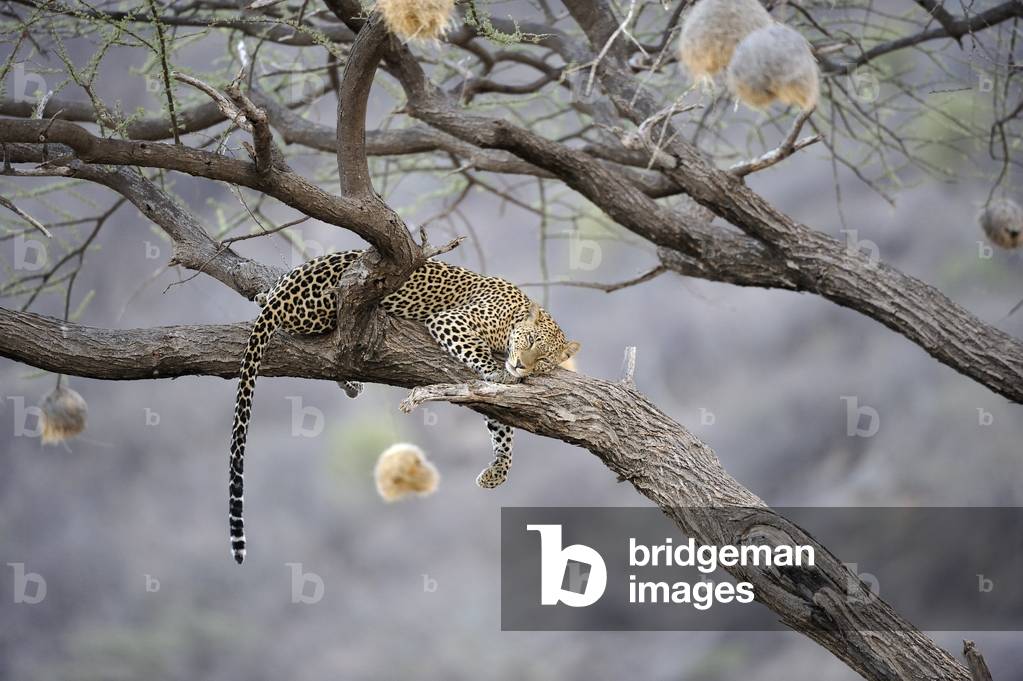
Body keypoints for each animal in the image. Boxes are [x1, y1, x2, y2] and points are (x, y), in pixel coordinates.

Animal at [228, 249, 580, 563]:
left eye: (544, 359)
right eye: (530, 340)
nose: (521, 365)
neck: (513, 319)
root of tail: (287, 290)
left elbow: (501, 425)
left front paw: (497, 471)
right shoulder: (452, 321)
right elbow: (480, 359)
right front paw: (498, 373)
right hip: (319, 312)